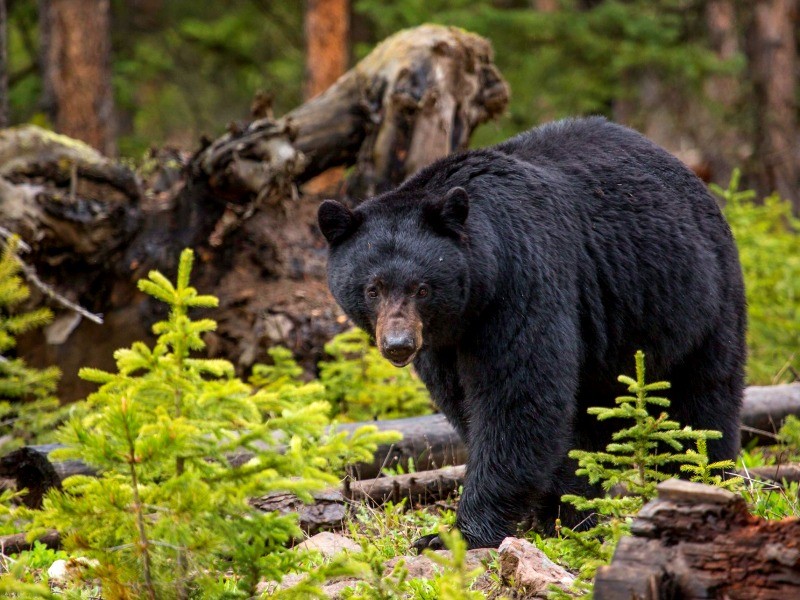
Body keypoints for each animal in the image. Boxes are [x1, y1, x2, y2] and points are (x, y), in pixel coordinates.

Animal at [317, 117, 746, 550]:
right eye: (372, 289)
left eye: (422, 288)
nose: (398, 345)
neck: (477, 294)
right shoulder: (443, 342)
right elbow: (466, 402)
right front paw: (559, 510)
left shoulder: (523, 280)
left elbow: (518, 398)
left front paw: (457, 534)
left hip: (697, 302)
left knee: (702, 402)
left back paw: (700, 481)